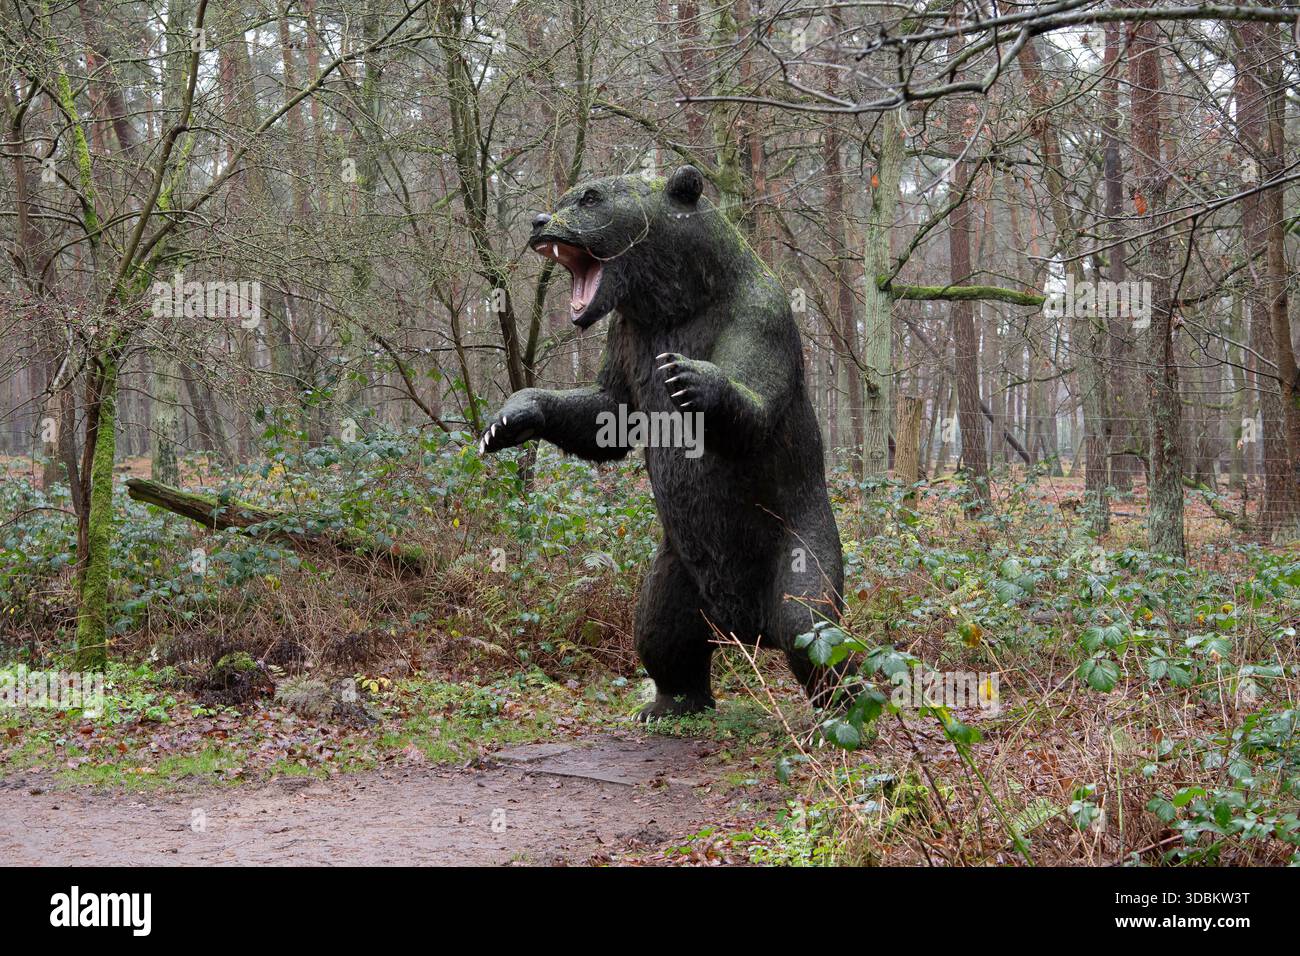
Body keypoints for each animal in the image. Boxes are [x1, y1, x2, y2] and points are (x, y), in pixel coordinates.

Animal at [480, 164, 844, 719]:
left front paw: (694, 379)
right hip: (679, 566)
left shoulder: (758, 314)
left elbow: (756, 405)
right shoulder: (628, 333)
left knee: (809, 626)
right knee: (660, 629)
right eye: (566, 195)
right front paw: (509, 417)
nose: (540, 221)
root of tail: (745, 630)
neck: (675, 299)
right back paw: (670, 701)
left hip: (799, 537)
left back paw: (841, 707)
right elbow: (607, 414)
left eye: (590, 197)